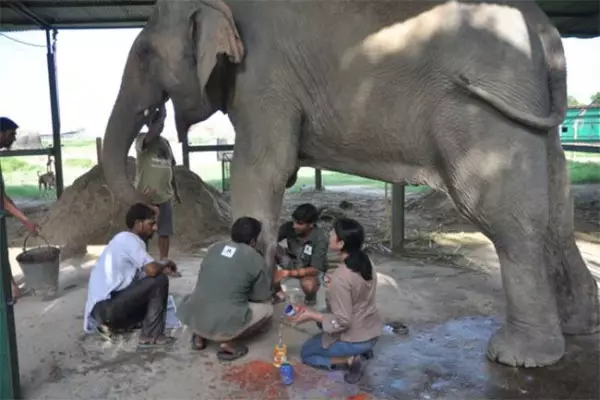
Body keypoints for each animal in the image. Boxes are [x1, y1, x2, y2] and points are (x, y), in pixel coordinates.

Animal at [101, 0, 596, 368]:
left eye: (144, 54)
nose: (155, 119)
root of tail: (546, 32)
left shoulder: (264, 80)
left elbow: (262, 168)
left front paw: (264, 310)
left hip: (483, 109)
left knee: (505, 216)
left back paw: (519, 356)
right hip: (526, 112)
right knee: (557, 206)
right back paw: (579, 326)